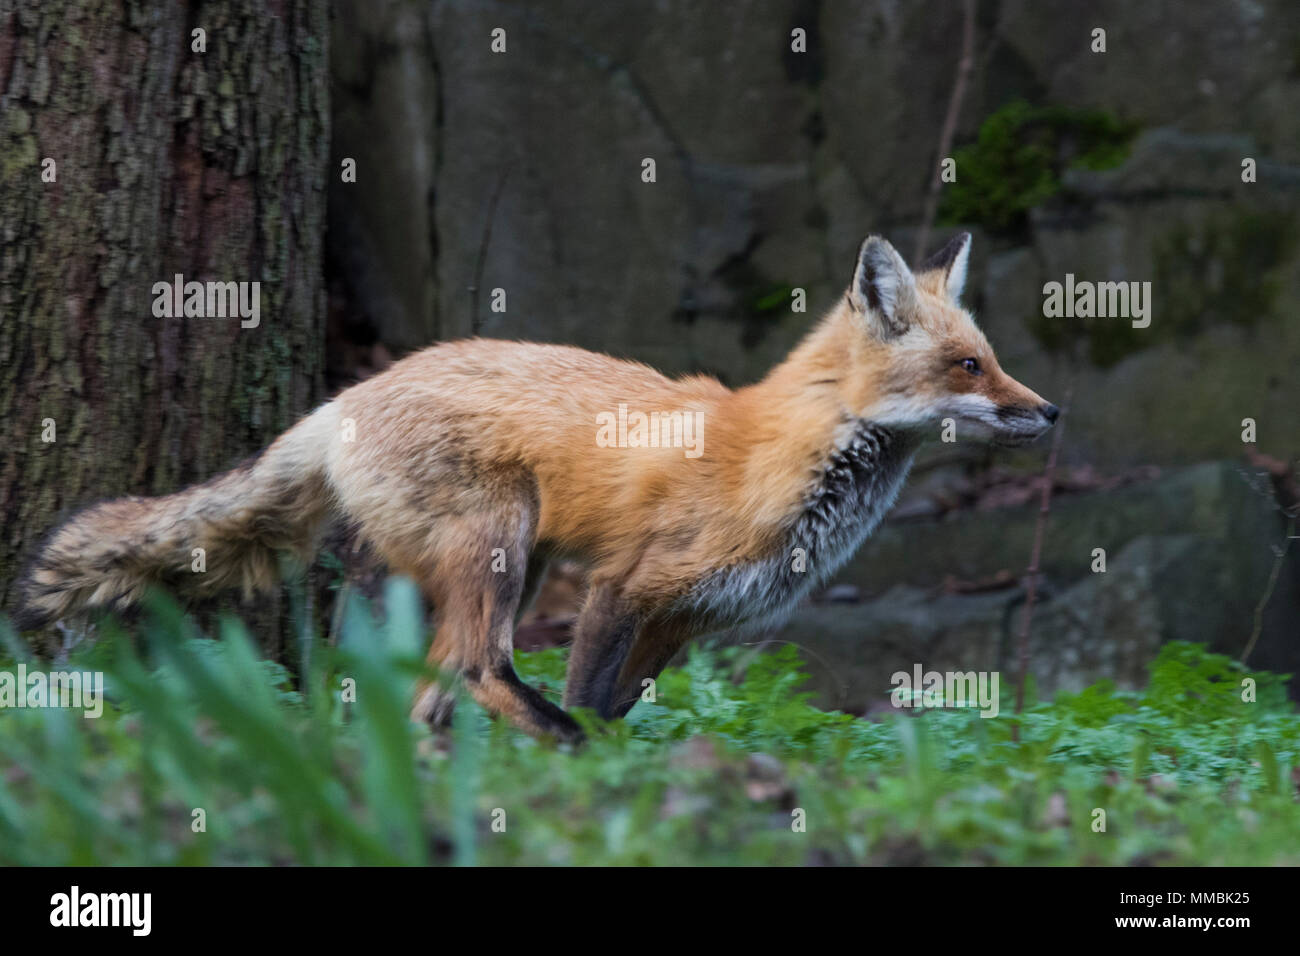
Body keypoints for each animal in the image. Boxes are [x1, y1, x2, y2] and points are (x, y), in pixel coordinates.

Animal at [17, 232, 1056, 744]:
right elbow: (593, 698)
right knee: (479, 668)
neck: (784, 458)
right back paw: (540, 746)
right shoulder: (623, 588)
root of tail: (345, 396)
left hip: (472, 568)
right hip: (502, 543)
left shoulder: (681, 623)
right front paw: (599, 776)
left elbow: (622, 700)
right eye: (968, 366)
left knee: (424, 684)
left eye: (994, 360)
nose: (1052, 412)